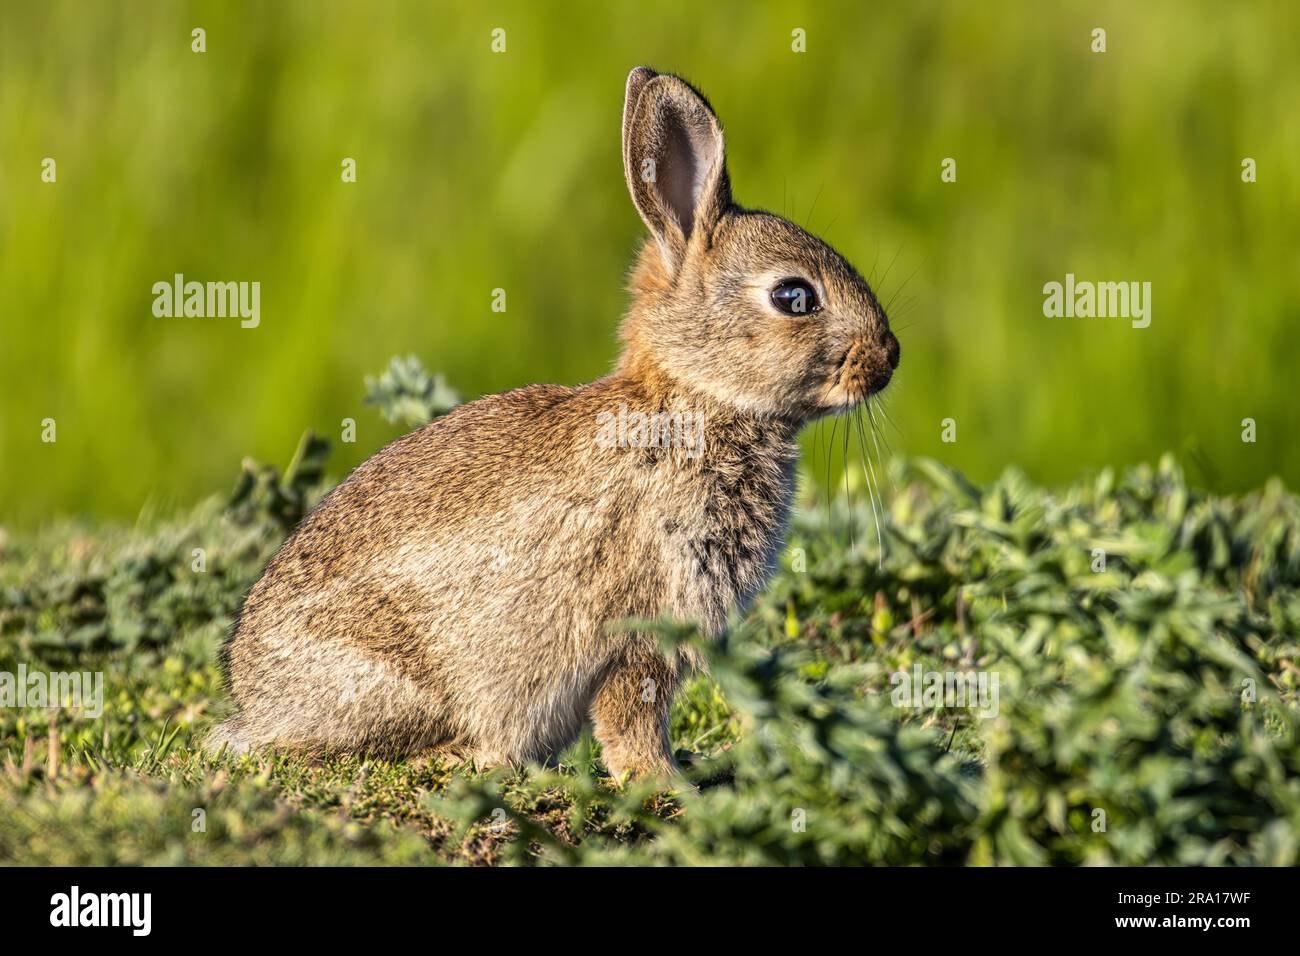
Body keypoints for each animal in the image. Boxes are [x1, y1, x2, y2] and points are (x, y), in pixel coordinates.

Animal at [210, 66, 899, 780]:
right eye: (794, 297)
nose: (888, 358)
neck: (693, 401)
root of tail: (253, 702)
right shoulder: (647, 618)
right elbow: (633, 712)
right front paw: (664, 783)